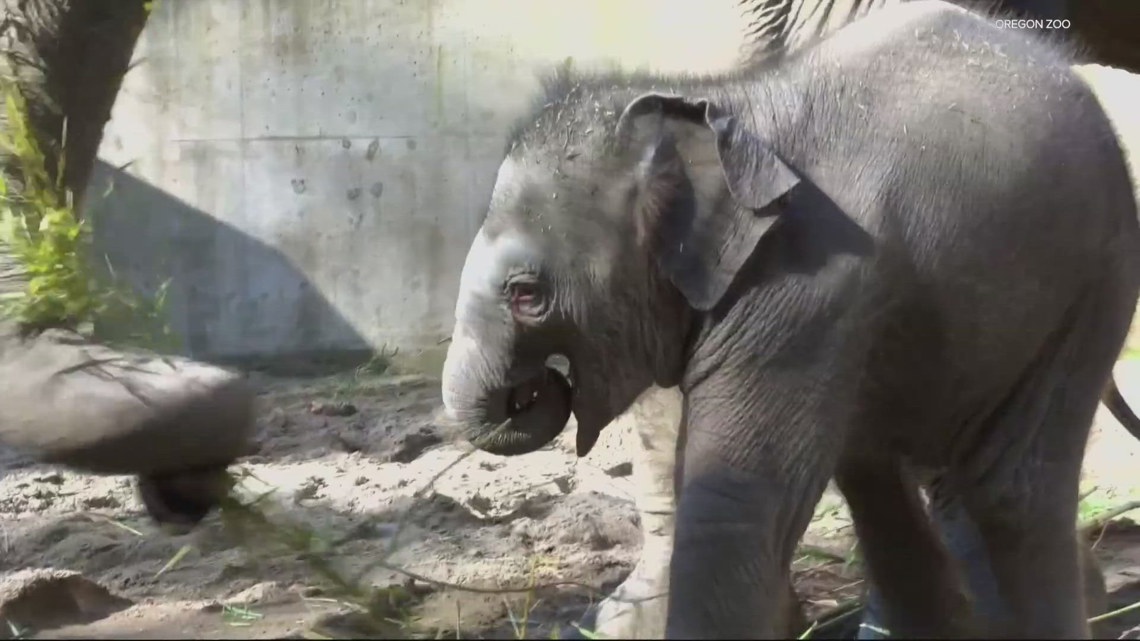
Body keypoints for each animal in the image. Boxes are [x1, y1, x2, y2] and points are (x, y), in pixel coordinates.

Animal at [439, 2, 1140, 637]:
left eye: (527, 295)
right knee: (897, 478)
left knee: (1009, 492)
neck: (716, 105)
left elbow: (736, 500)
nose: (535, 386)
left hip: (1092, 283)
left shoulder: (807, 286)